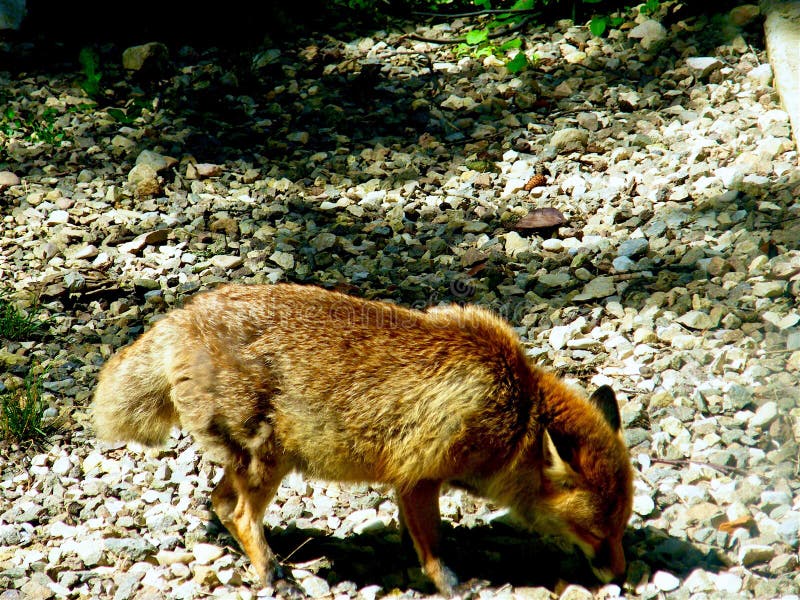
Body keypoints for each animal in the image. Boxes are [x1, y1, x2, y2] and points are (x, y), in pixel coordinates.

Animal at [91, 283, 634, 595]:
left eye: (621, 528)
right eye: (595, 533)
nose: (624, 576)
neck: (516, 410)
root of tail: (180, 318)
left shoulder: (413, 484)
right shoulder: (418, 475)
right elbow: (434, 549)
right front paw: (455, 585)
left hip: (254, 462)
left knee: (220, 502)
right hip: (268, 460)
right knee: (238, 512)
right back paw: (274, 575)